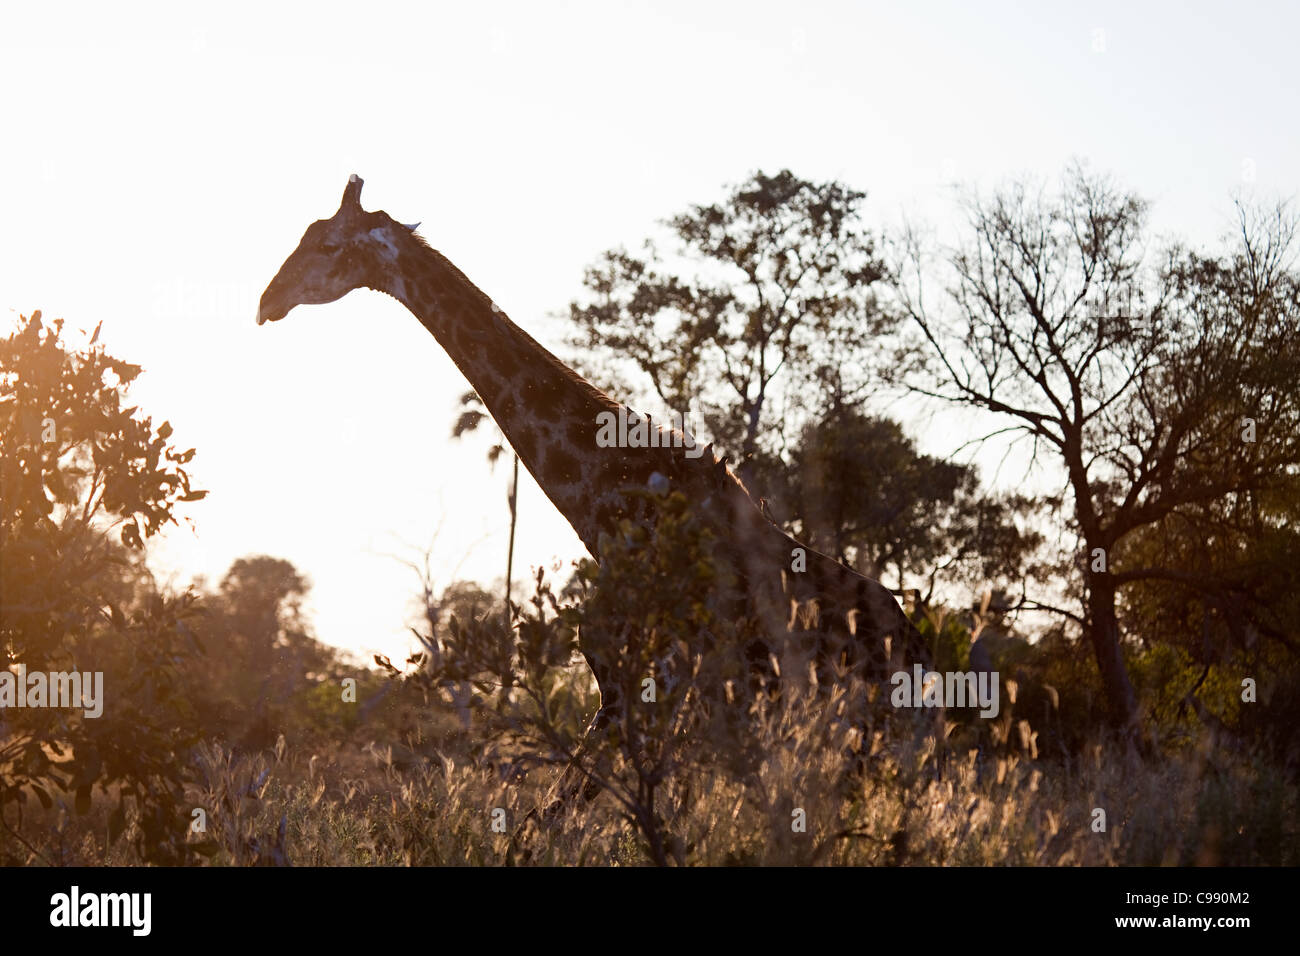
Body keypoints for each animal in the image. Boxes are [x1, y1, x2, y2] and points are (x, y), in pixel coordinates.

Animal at [257, 175, 931, 811]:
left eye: (328, 244)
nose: (267, 301)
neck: (605, 499)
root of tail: (919, 650)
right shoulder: (637, 693)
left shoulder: (641, 689)